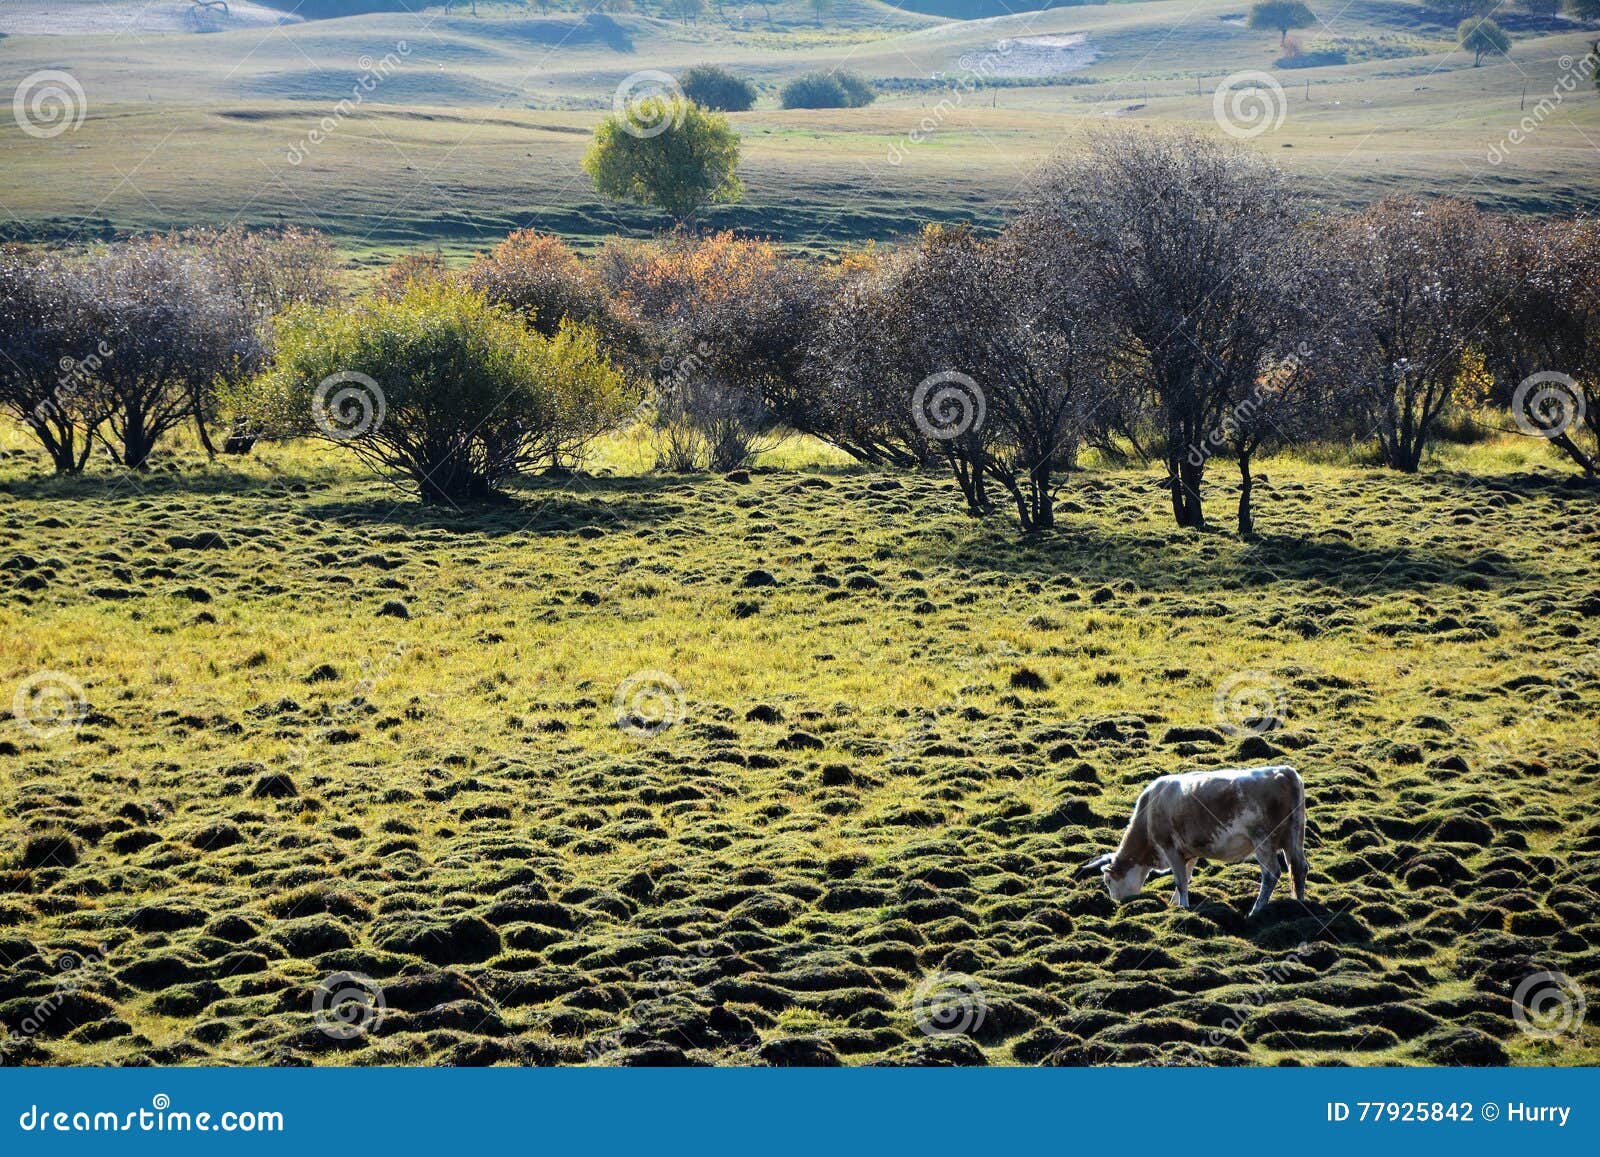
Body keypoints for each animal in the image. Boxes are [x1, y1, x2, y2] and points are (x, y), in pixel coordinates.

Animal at [1078, 764, 1307, 917]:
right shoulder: (1189, 852)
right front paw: (1175, 903)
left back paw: (1256, 911)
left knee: (1271, 873)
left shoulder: (1170, 847)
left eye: (1108, 881)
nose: (1117, 903)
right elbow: (1186, 878)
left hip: (1263, 840)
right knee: (1299, 867)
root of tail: (1283, 771)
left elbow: (1180, 880)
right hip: (1294, 838)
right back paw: (1299, 904)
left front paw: (1184, 907)